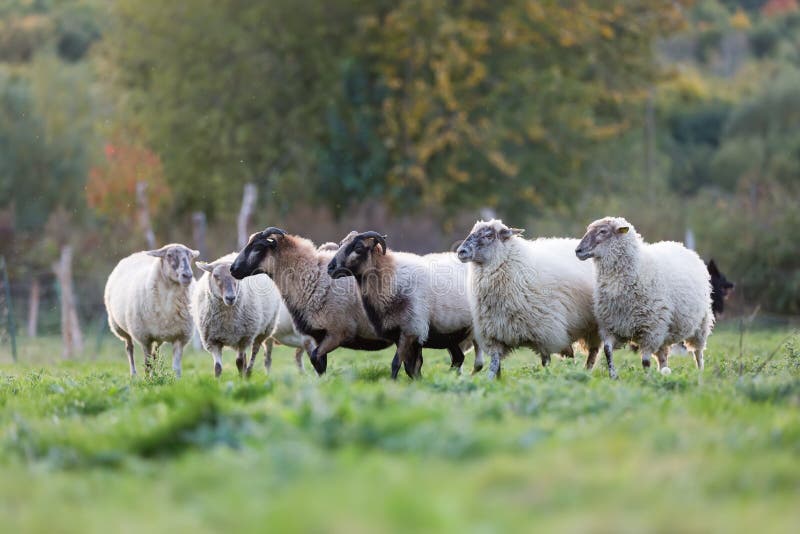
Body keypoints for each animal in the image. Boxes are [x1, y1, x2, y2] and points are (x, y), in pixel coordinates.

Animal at [104, 243, 199, 377]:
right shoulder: (144, 337)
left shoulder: (180, 337)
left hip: (159, 335)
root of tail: (137, 253)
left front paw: (177, 380)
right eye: (169, 255)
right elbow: (147, 364)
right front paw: (149, 379)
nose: (187, 275)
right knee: (129, 348)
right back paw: (134, 375)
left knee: (155, 354)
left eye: (190, 256)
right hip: (119, 327)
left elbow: (176, 367)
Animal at [230, 227, 393, 375]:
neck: (312, 277)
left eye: (258, 247)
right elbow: (320, 365)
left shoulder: (339, 331)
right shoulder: (318, 336)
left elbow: (316, 360)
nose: (232, 269)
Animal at [327, 231, 484, 379]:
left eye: (358, 248)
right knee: (458, 358)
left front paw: (393, 383)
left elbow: (397, 363)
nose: (330, 267)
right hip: (449, 334)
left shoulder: (411, 330)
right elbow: (411, 368)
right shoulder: (402, 334)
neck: (390, 280)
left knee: (475, 362)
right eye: (340, 245)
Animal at [456, 220, 602, 380]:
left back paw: (586, 371)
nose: (461, 251)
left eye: (488, 236)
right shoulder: (494, 336)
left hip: (593, 327)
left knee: (593, 353)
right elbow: (494, 366)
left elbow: (546, 363)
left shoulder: (546, 335)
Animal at [575, 217, 714, 375]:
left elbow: (646, 362)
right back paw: (663, 373)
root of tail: (680, 245)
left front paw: (646, 378)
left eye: (603, 231)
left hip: (700, 324)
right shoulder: (611, 326)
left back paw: (700, 372)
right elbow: (607, 351)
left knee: (698, 352)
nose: (578, 250)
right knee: (663, 357)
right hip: (664, 332)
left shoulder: (651, 330)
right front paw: (613, 375)